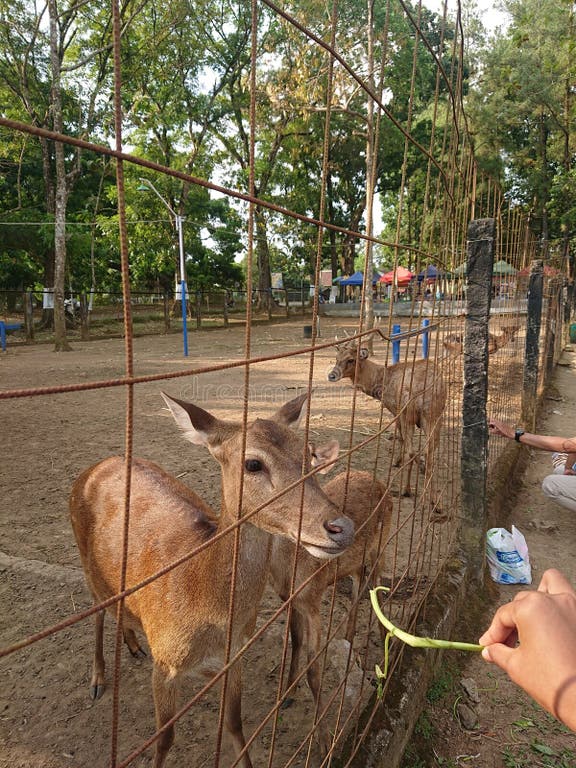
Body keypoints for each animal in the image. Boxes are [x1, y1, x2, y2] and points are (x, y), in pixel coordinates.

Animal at [68, 392, 355, 768]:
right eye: (253, 464)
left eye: (308, 454)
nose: (342, 527)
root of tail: (93, 468)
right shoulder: (165, 663)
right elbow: (164, 739)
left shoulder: (234, 656)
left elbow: (234, 722)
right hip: (86, 561)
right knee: (97, 611)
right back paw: (97, 679)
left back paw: (133, 645)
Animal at [269, 465, 391, 756]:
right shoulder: (291, 601)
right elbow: (295, 641)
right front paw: (287, 694)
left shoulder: (313, 599)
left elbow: (314, 670)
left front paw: (325, 742)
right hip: (355, 561)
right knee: (359, 587)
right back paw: (349, 644)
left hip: (381, 545)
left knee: (377, 590)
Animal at [327, 340, 446, 497]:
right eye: (336, 358)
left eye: (351, 359)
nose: (331, 376)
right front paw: (418, 465)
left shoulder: (395, 409)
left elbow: (400, 437)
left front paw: (397, 461)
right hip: (435, 415)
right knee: (430, 452)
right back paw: (432, 498)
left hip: (408, 411)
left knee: (412, 451)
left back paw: (406, 489)